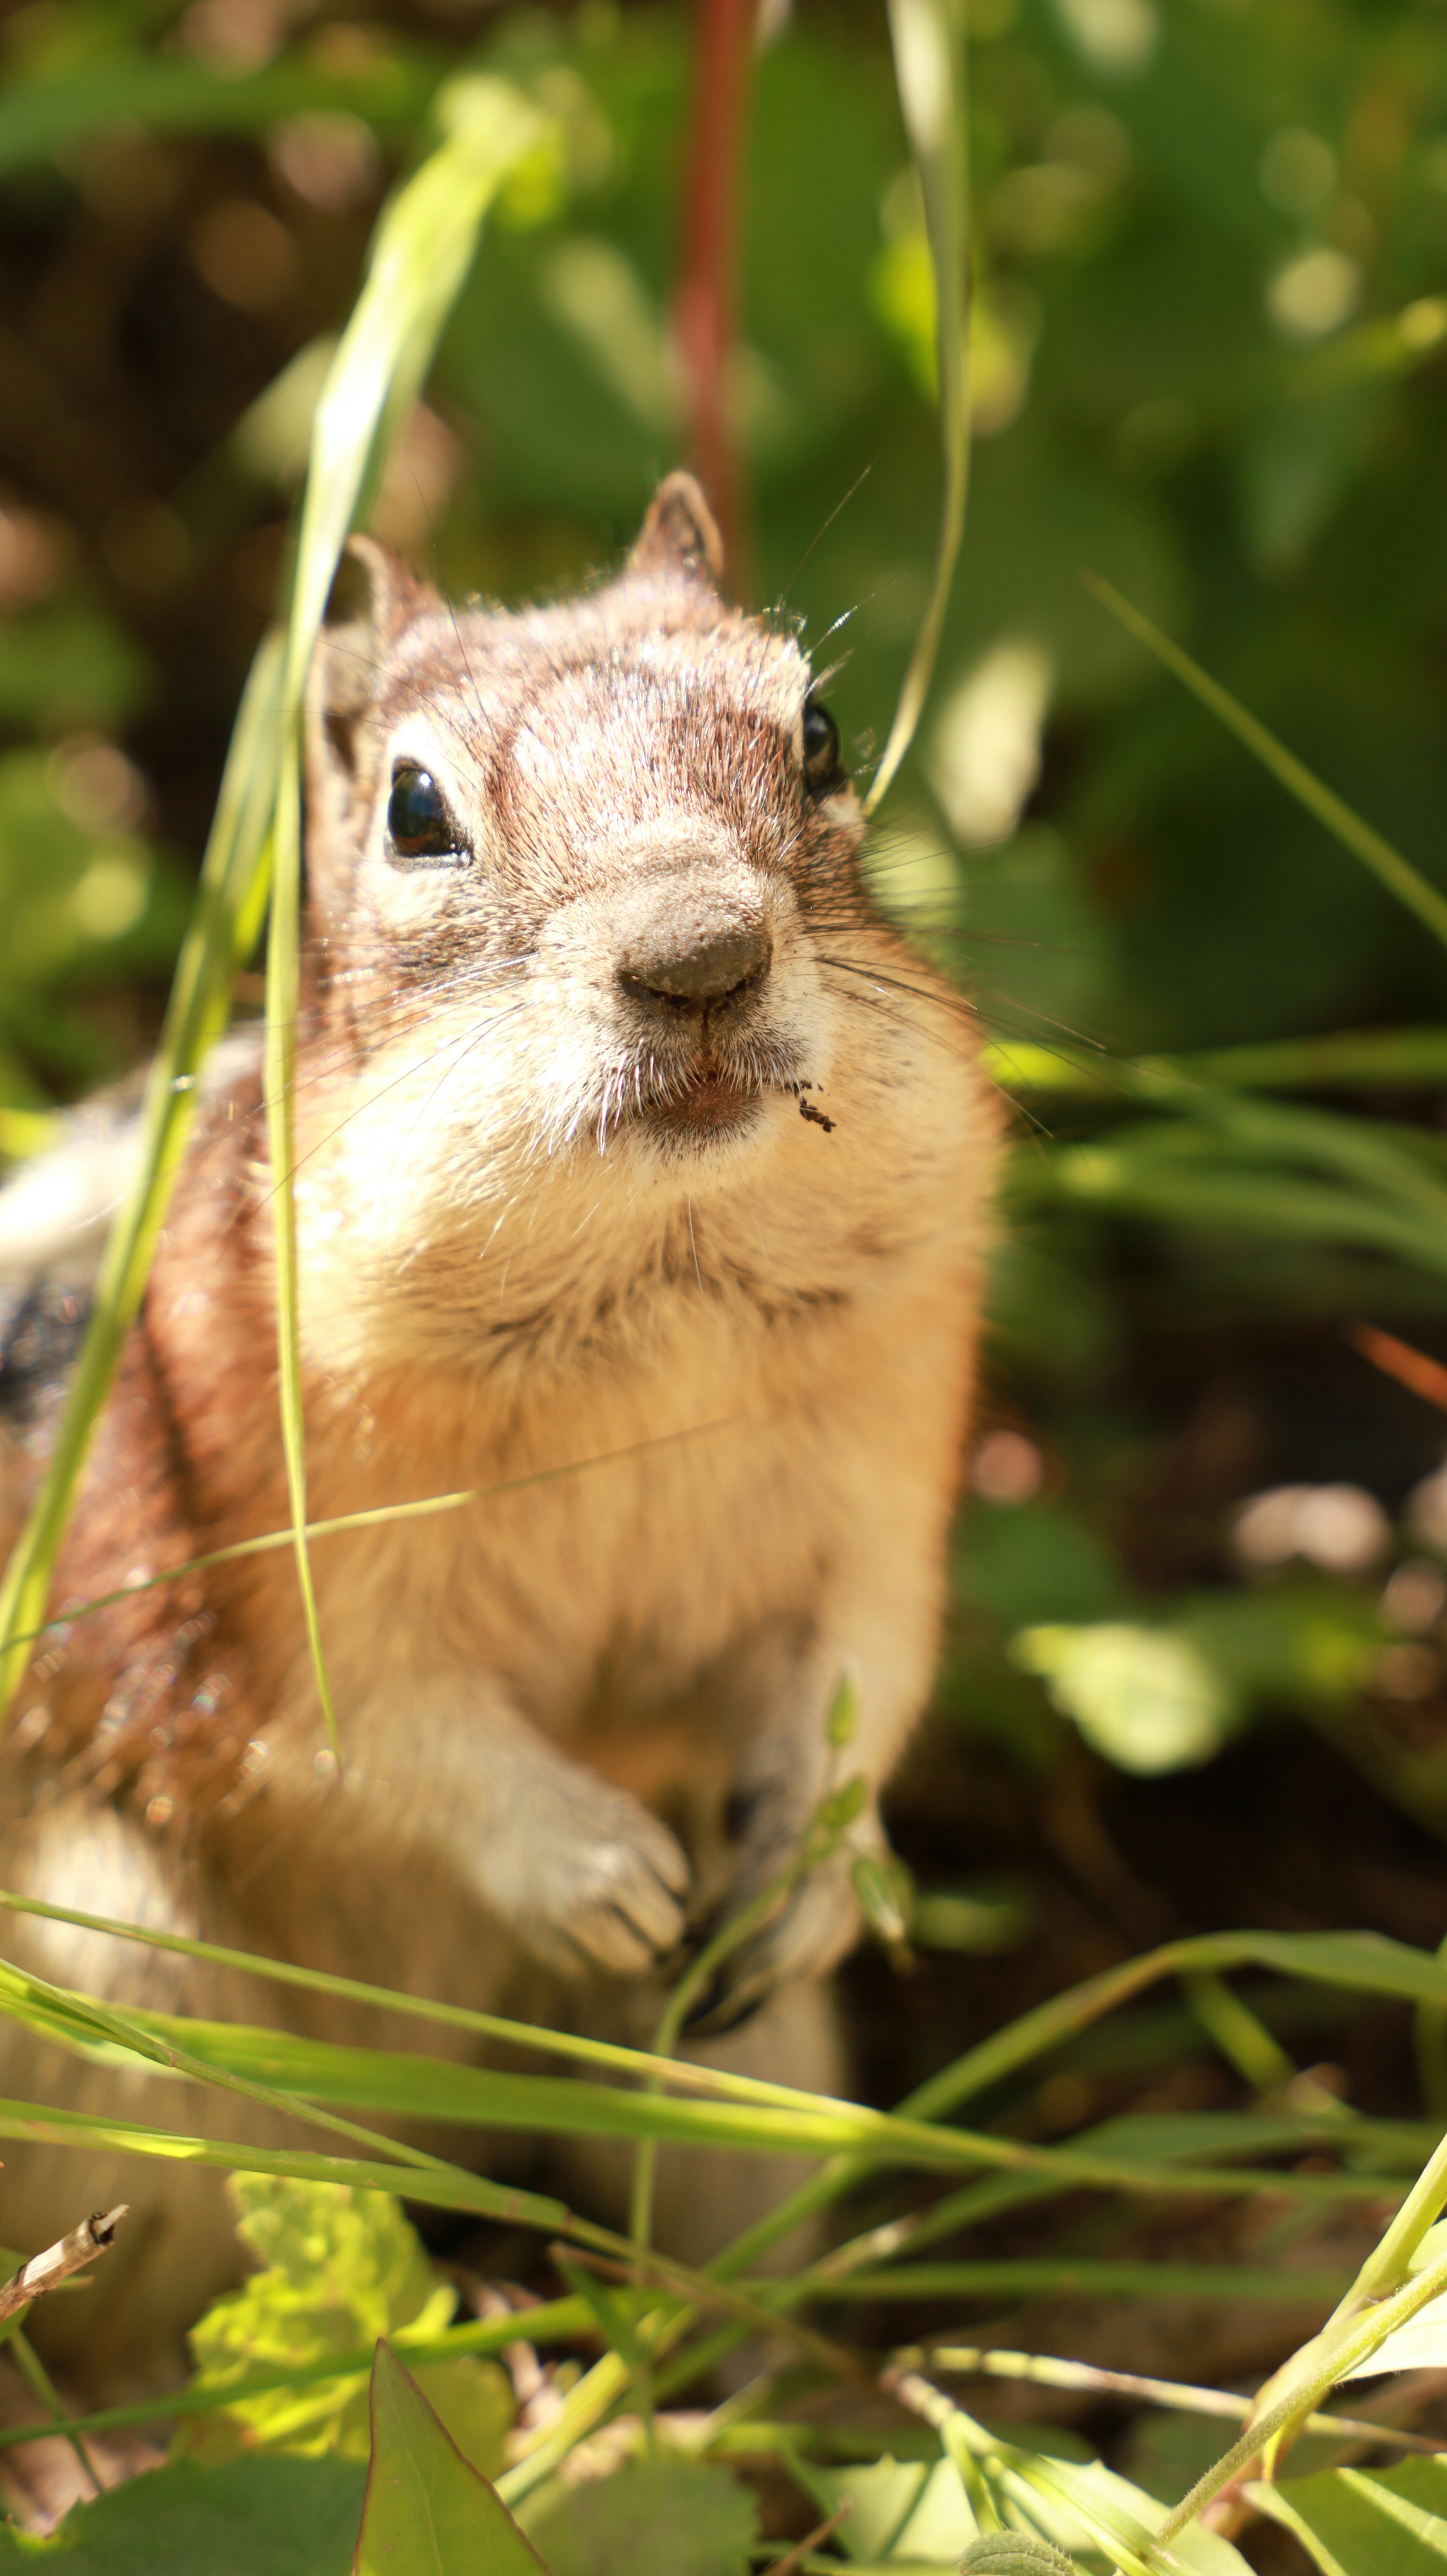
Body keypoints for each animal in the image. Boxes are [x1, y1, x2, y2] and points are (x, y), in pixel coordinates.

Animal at [0, 474, 997, 2395]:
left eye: (819, 732)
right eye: (413, 807)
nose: (698, 956)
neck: (654, 1294)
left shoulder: (887, 1470)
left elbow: (873, 1665)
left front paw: (822, 1861)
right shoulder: (256, 1530)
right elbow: (369, 1733)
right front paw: (591, 1863)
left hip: (748, 2072)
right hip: (125, 1999)